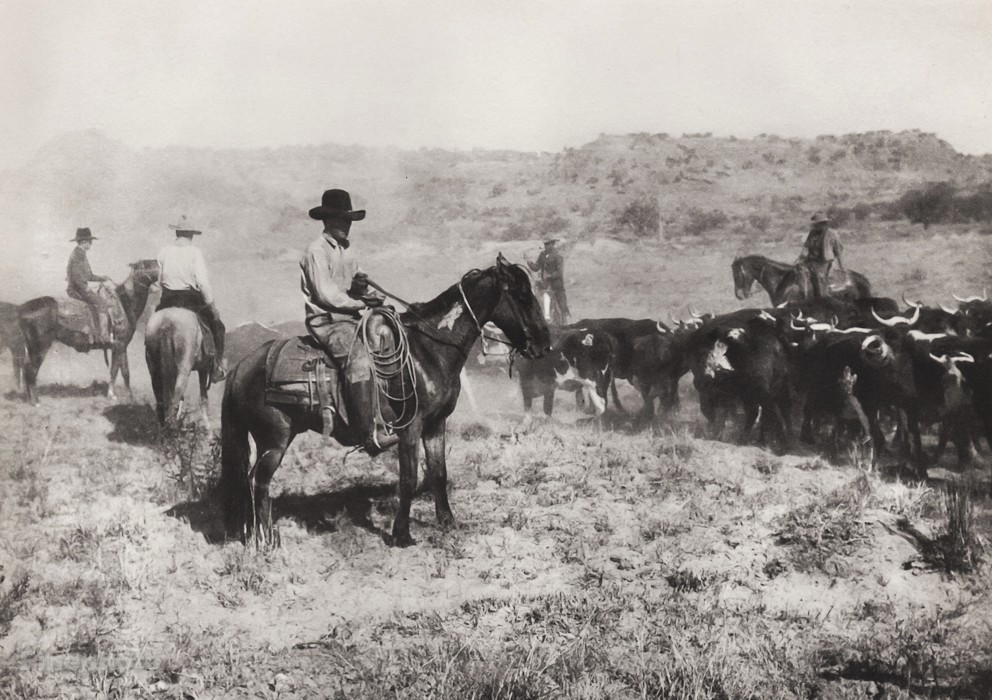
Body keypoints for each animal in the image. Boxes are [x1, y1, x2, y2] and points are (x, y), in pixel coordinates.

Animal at [18, 260, 160, 404]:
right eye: (151, 264)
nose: (162, 265)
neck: (124, 304)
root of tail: (23, 308)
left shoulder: (120, 346)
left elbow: (120, 371)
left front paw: (121, 395)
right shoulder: (119, 345)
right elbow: (119, 371)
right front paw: (119, 396)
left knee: (26, 368)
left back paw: (30, 398)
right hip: (40, 347)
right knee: (31, 370)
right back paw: (36, 402)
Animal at [216, 255, 551, 547]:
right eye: (522, 295)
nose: (545, 344)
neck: (427, 350)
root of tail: (242, 366)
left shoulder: (436, 424)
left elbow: (438, 474)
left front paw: (447, 522)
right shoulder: (410, 428)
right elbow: (408, 479)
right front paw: (401, 535)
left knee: (249, 481)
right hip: (274, 439)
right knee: (258, 482)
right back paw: (266, 540)